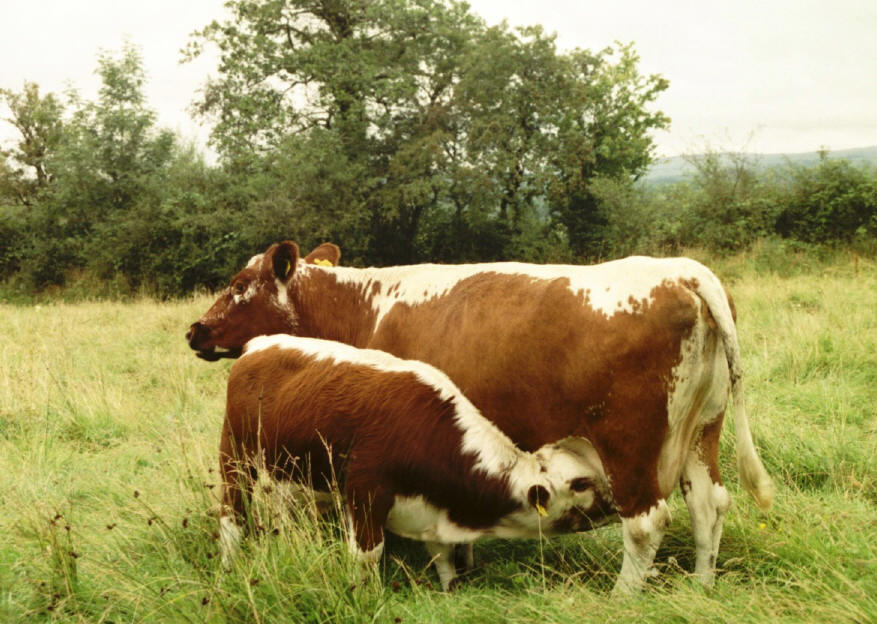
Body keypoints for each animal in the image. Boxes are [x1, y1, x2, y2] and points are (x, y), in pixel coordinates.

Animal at [218, 334, 613, 590]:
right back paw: (228, 562)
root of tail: (258, 344)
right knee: (231, 515)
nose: (615, 501)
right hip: (235, 454)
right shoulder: (365, 490)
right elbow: (367, 554)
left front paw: (449, 589)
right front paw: (366, 595)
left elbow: (443, 556)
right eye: (581, 484)